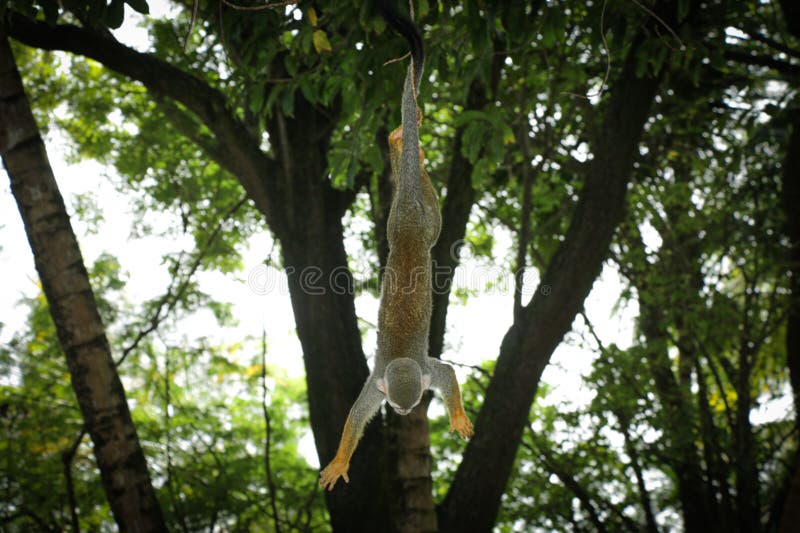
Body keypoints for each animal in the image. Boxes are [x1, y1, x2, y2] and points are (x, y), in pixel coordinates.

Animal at [319, 1, 473, 492]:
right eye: (399, 406)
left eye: (413, 404)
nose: (405, 413)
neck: (405, 366)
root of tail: (405, 219)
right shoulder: (376, 386)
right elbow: (356, 416)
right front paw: (340, 459)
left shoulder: (425, 372)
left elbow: (447, 372)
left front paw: (457, 415)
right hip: (400, 225)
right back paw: (401, 145)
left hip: (423, 223)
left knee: (432, 215)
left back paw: (409, 152)